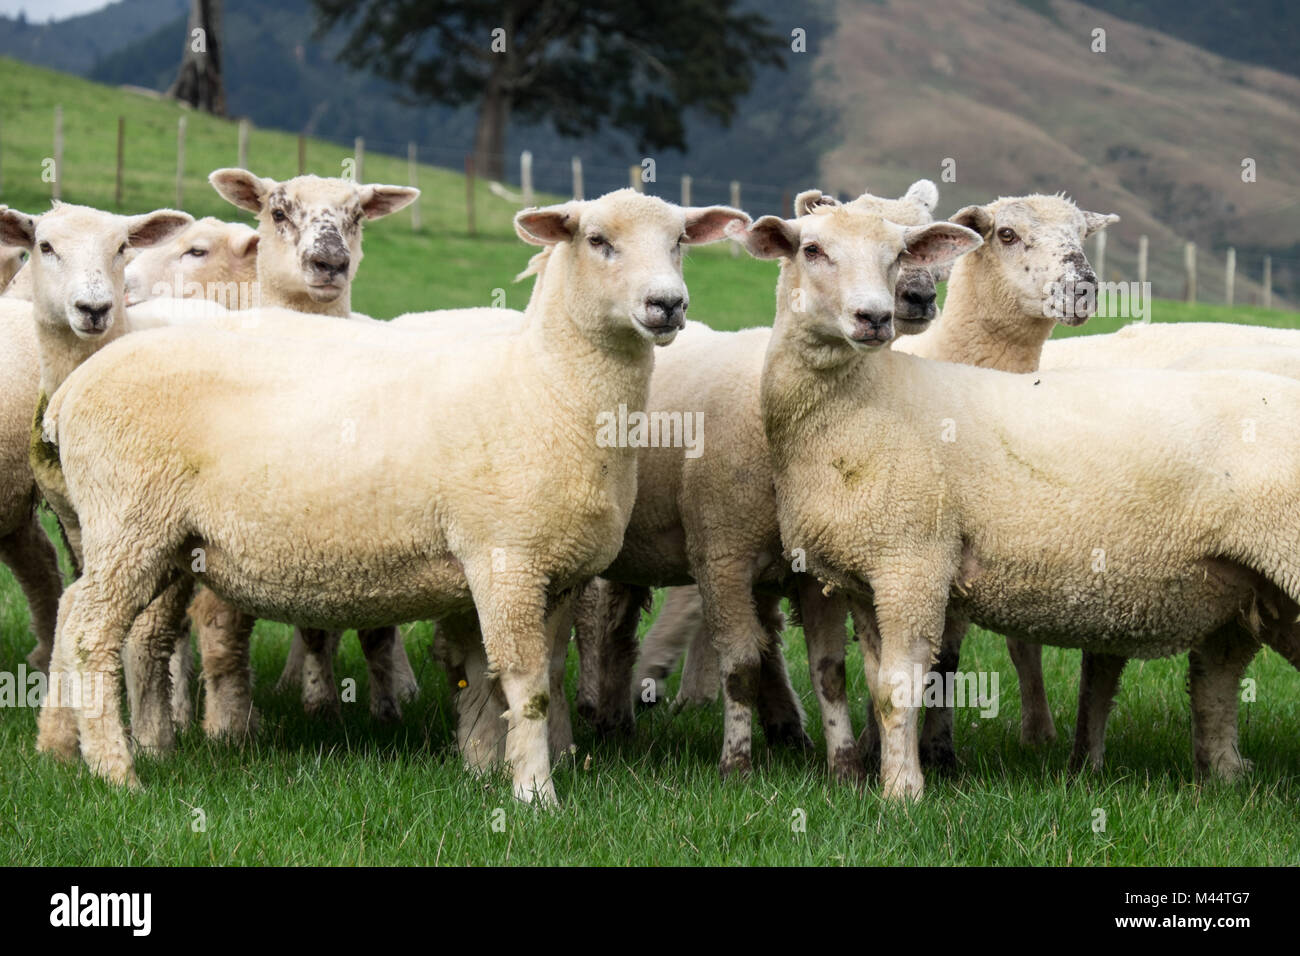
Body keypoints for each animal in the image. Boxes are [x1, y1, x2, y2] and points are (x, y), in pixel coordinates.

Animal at [32, 189, 749, 802]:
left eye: (680, 241)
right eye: (598, 240)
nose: (668, 305)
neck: (544, 384)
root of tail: (74, 389)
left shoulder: (561, 574)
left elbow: (520, 675)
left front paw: (491, 768)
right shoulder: (507, 561)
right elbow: (528, 685)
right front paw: (534, 794)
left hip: (151, 537)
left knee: (84, 615)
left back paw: (62, 747)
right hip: (131, 521)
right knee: (93, 631)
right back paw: (118, 771)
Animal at [747, 203, 1300, 800]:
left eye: (897, 255)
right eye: (811, 250)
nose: (875, 317)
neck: (860, 401)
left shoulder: (915, 563)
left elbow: (901, 689)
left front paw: (904, 793)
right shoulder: (863, 579)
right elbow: (877, 686)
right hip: (1248, 590)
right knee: (1216, 680)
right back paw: (1224, 777)